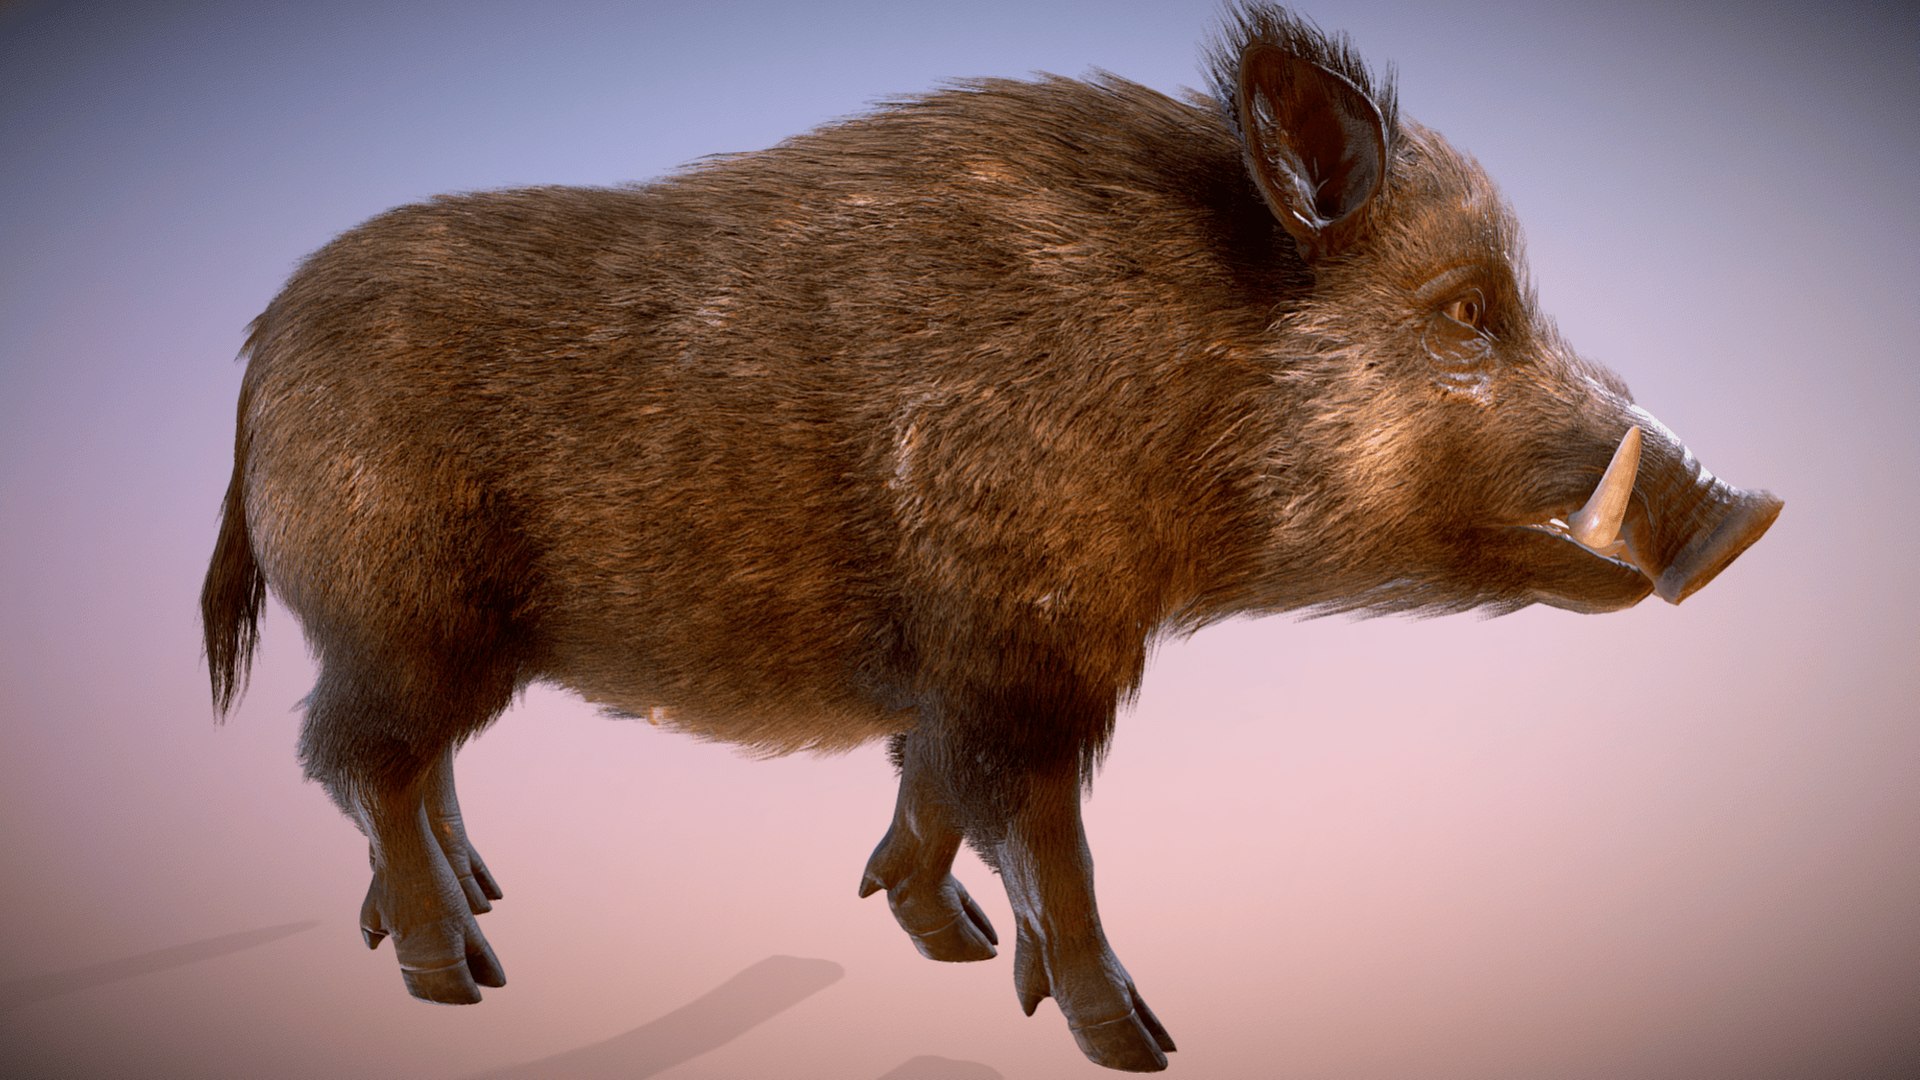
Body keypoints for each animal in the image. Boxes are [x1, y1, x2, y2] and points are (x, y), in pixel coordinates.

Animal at [200, 3, 1781, 1071]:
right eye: (1465, 311)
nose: (1744, 515)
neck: (1174, 383)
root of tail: (259, 351)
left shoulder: (983, 663)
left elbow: (936, 791)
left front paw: (943, 939)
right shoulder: (1030, 644)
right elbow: (1043, 829)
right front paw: (1138, 1045)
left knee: (407, 767)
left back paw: (465, 918)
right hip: (403, 609)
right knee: (356, 757)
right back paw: (458, 976)